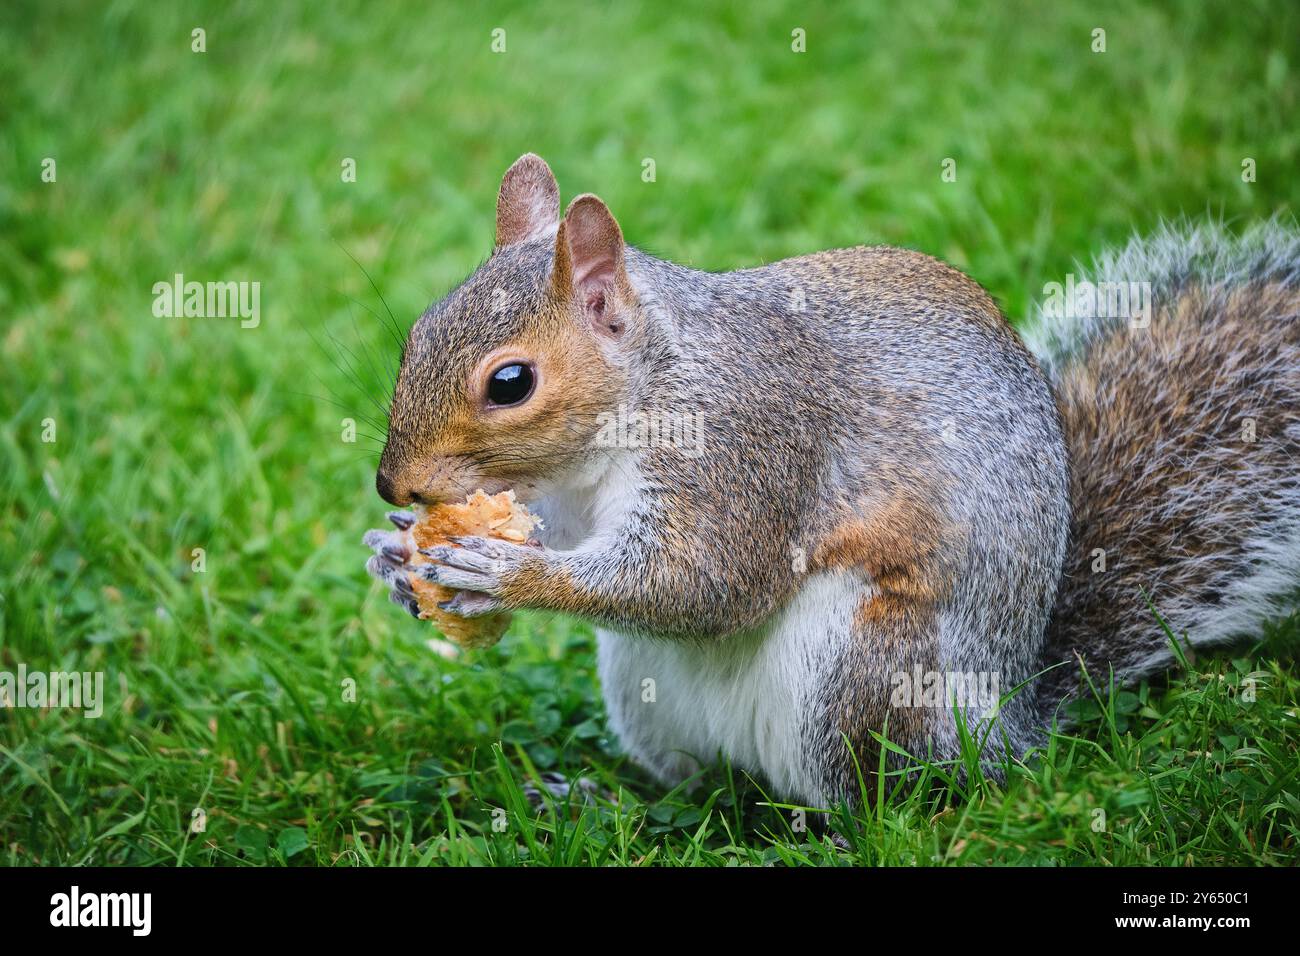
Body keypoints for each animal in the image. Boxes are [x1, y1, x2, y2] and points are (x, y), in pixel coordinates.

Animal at [364, 153, 1300, 808]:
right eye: (417, 332)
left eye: (510, 382)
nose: (391, 486)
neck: (645, 390)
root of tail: (1005, 723)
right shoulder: (573, 495)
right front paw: (396, 558)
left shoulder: (745, 447)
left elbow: (707, 582)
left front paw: (504, 570)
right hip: (646, 689)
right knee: (701, 786)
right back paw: (603, 797)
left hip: (865, 669)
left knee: (887, 800)